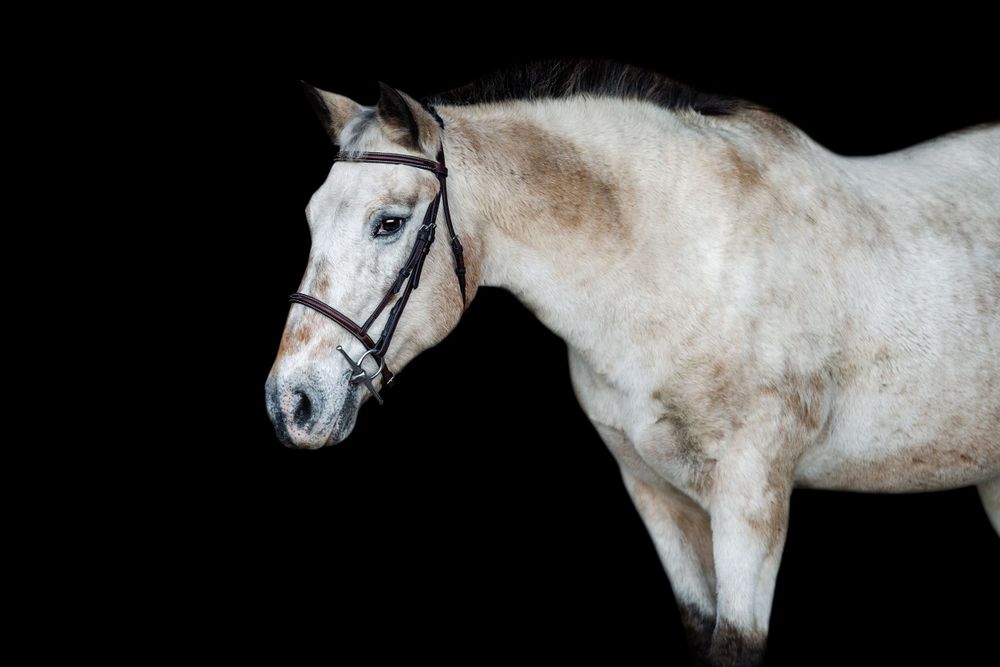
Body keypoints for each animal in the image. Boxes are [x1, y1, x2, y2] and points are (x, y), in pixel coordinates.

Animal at [265, 61, 1000, 667]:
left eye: (388, 222)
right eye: (311, 216)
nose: (290, 402)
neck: (680, 267)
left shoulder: (752, 498)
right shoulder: (654, 492)